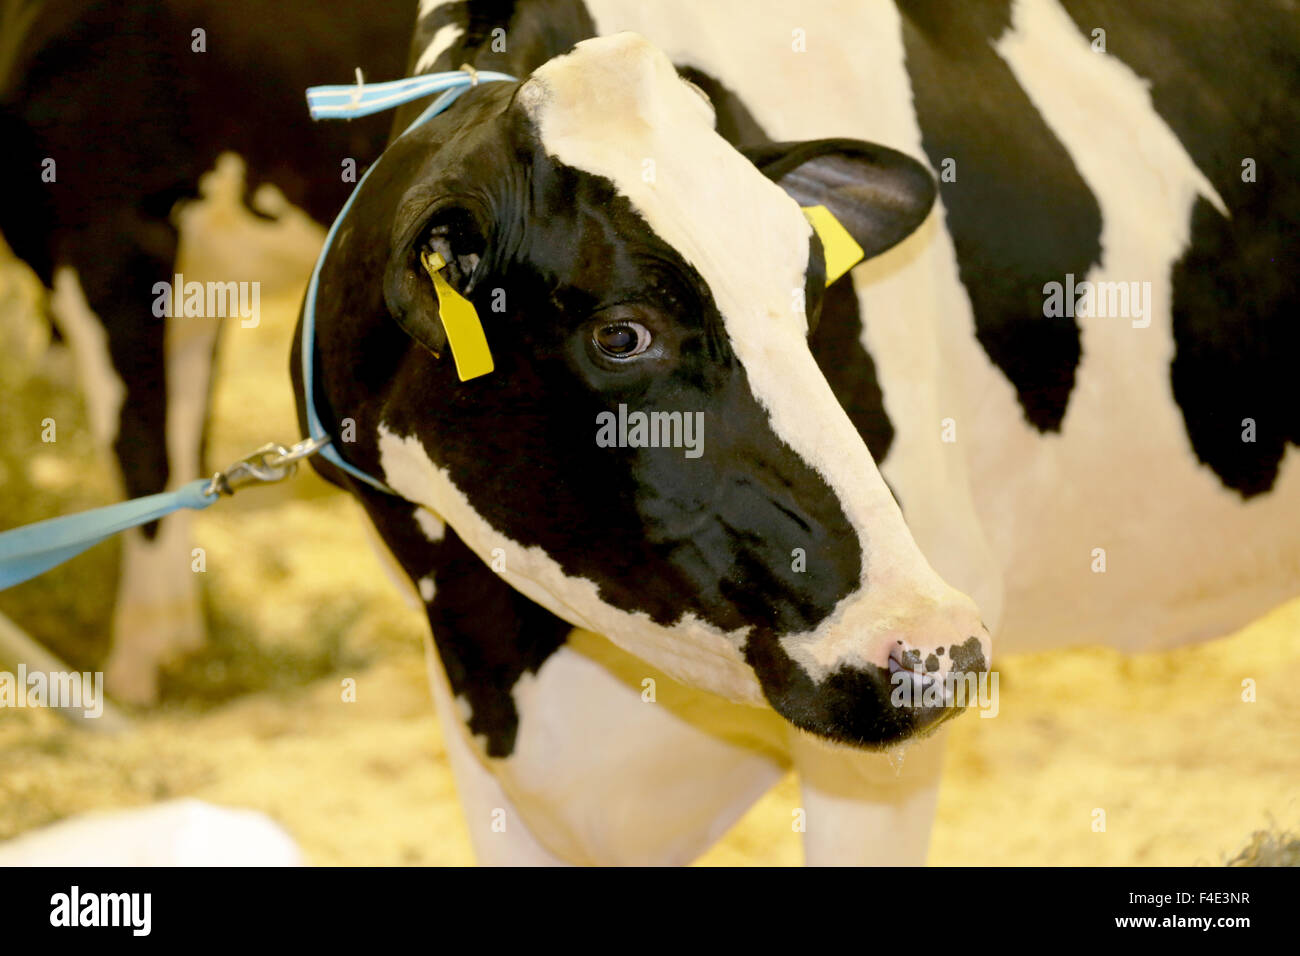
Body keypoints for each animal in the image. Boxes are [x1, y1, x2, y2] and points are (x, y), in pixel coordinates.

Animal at [0, 0, 415, 702]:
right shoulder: (196, 279)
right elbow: (184, 442)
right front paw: (180, 643)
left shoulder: (107, 234)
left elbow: (143, 448)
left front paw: (136, 668)